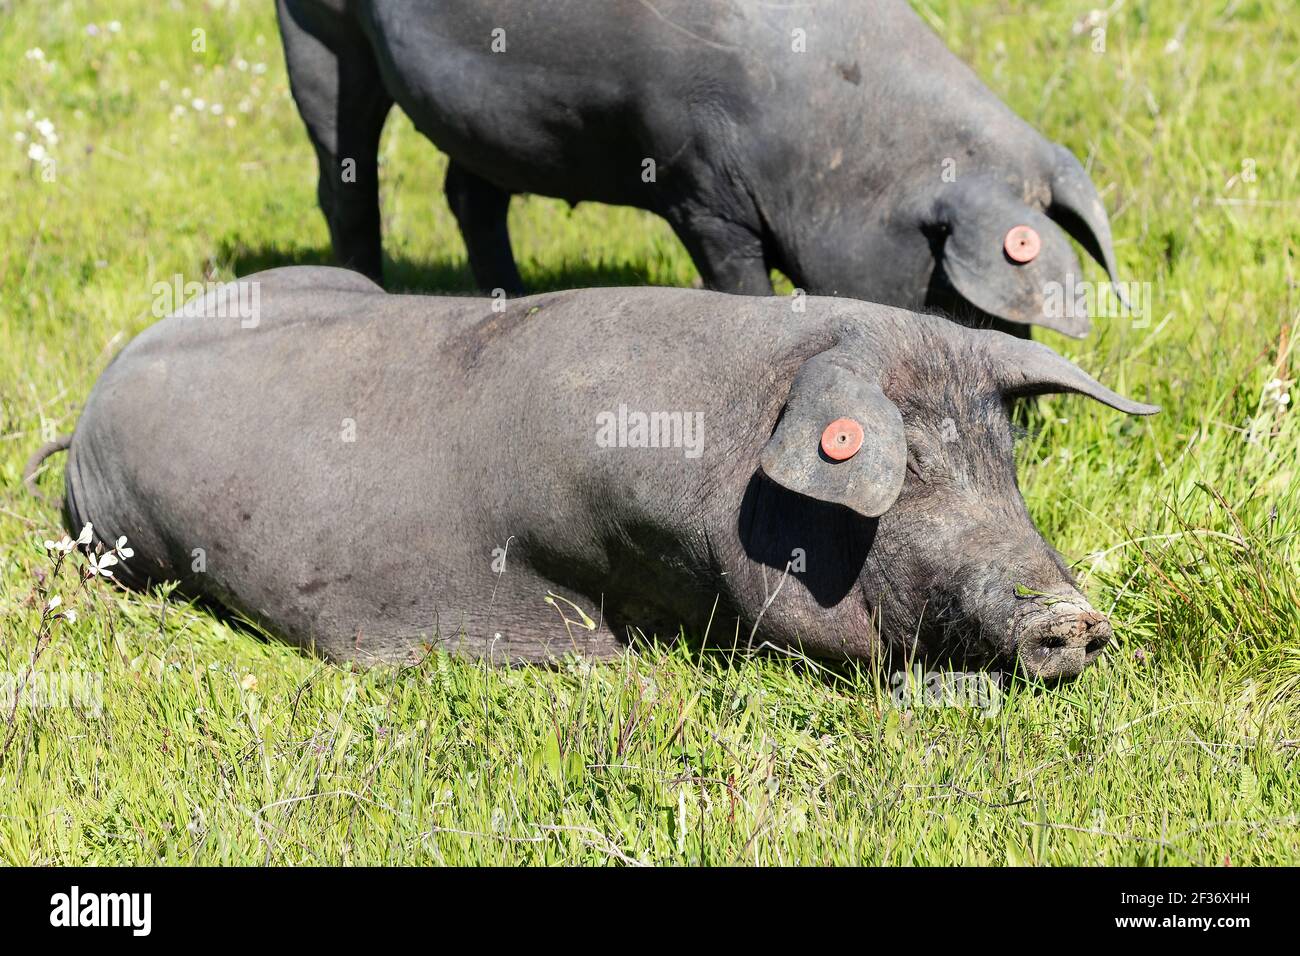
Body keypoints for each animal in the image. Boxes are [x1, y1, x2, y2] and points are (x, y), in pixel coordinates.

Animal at [276, 0, 1125, 337]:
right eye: (947, 286)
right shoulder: (701, 192)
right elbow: (738, 282)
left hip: (484, 115)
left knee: (469, 194)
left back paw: (510, 302)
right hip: (317, 28)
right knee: (343, 177)